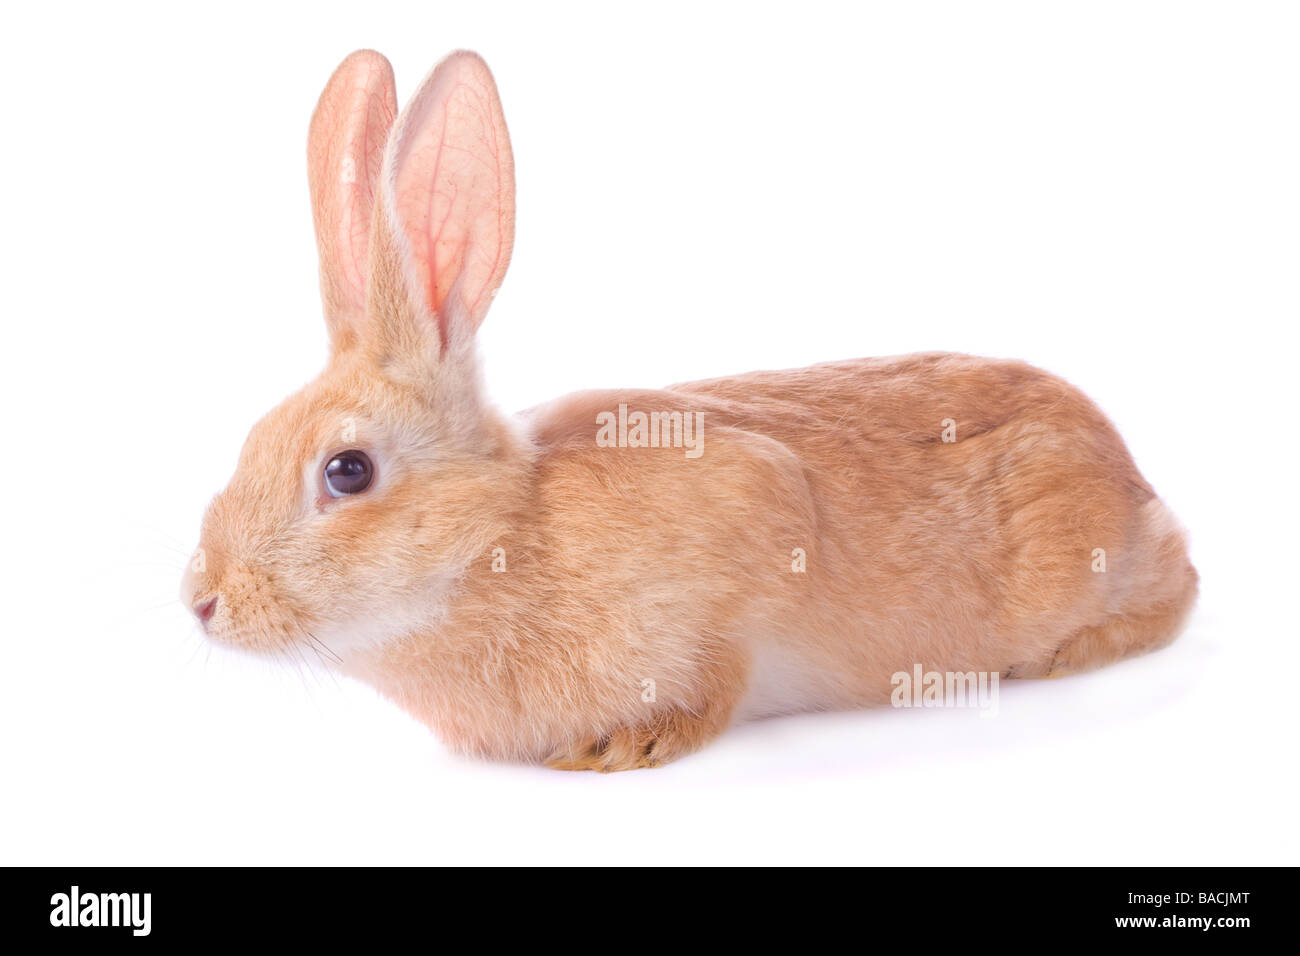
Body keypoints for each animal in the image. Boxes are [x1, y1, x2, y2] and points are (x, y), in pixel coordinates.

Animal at [181, 49, 1198, 771]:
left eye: (347, 471)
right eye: (250, 439)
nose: (202, 602)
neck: (503, 538)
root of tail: (1124, 465)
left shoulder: (754, 528)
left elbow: (722, 668)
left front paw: (624, 747)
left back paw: (1068, 655)